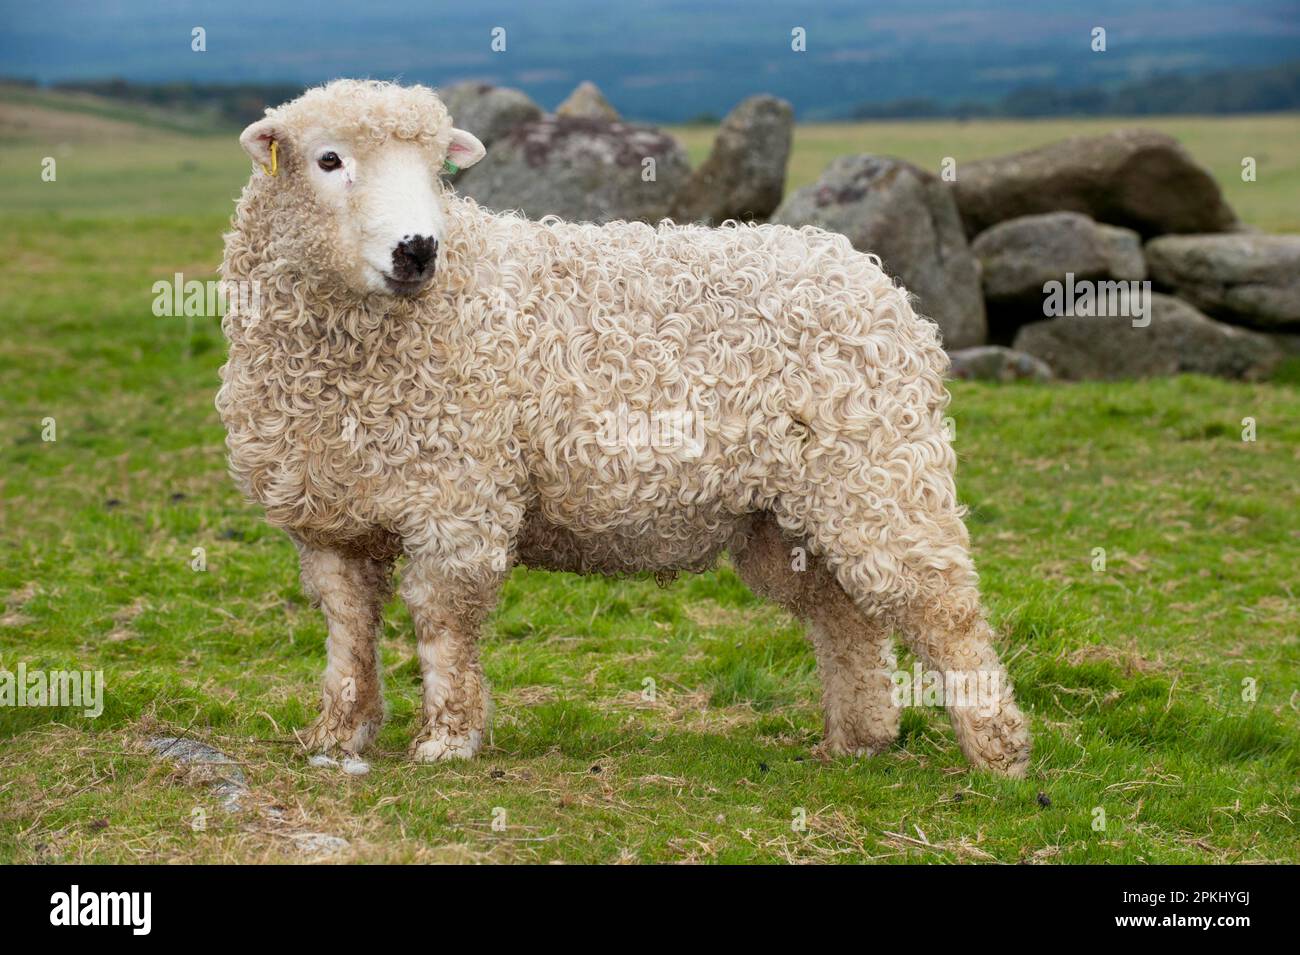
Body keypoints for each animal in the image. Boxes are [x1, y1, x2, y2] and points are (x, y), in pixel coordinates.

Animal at [217, 79, 1031, 775]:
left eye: (436, 168)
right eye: (329, 160)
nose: (418, 250)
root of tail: (870, 275)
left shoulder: (459, 500)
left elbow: (442, 623)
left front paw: (448, 739)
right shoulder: (328, 515)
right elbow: (348, 628)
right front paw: (337, 732)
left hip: (880, 473)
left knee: (944, 608)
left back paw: (1000, 754)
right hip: (788, 516)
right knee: (845, 620)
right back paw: (857, 740)